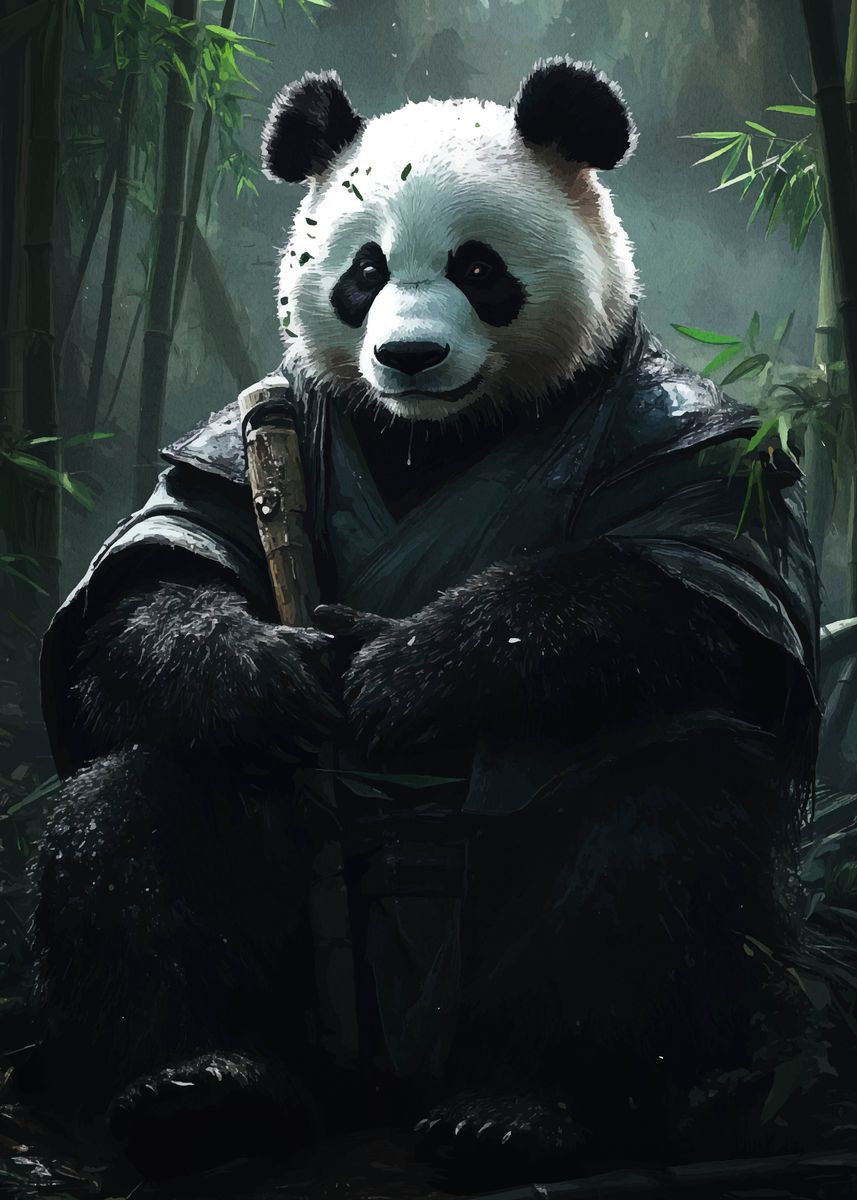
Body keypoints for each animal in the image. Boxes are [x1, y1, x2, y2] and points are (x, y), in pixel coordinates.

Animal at [32, 60, 819, 1182]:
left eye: (478, 269)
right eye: (362, 273)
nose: (405, 356)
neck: (434, 435)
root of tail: (387, 1077)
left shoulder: (689, 444)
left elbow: (691, 596)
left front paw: (403, 668)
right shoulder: (248, 432)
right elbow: (149, 580)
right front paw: (268, 669)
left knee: (664, 814)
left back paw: (518, 1105)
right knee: (133, 805)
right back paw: (202, 1085)